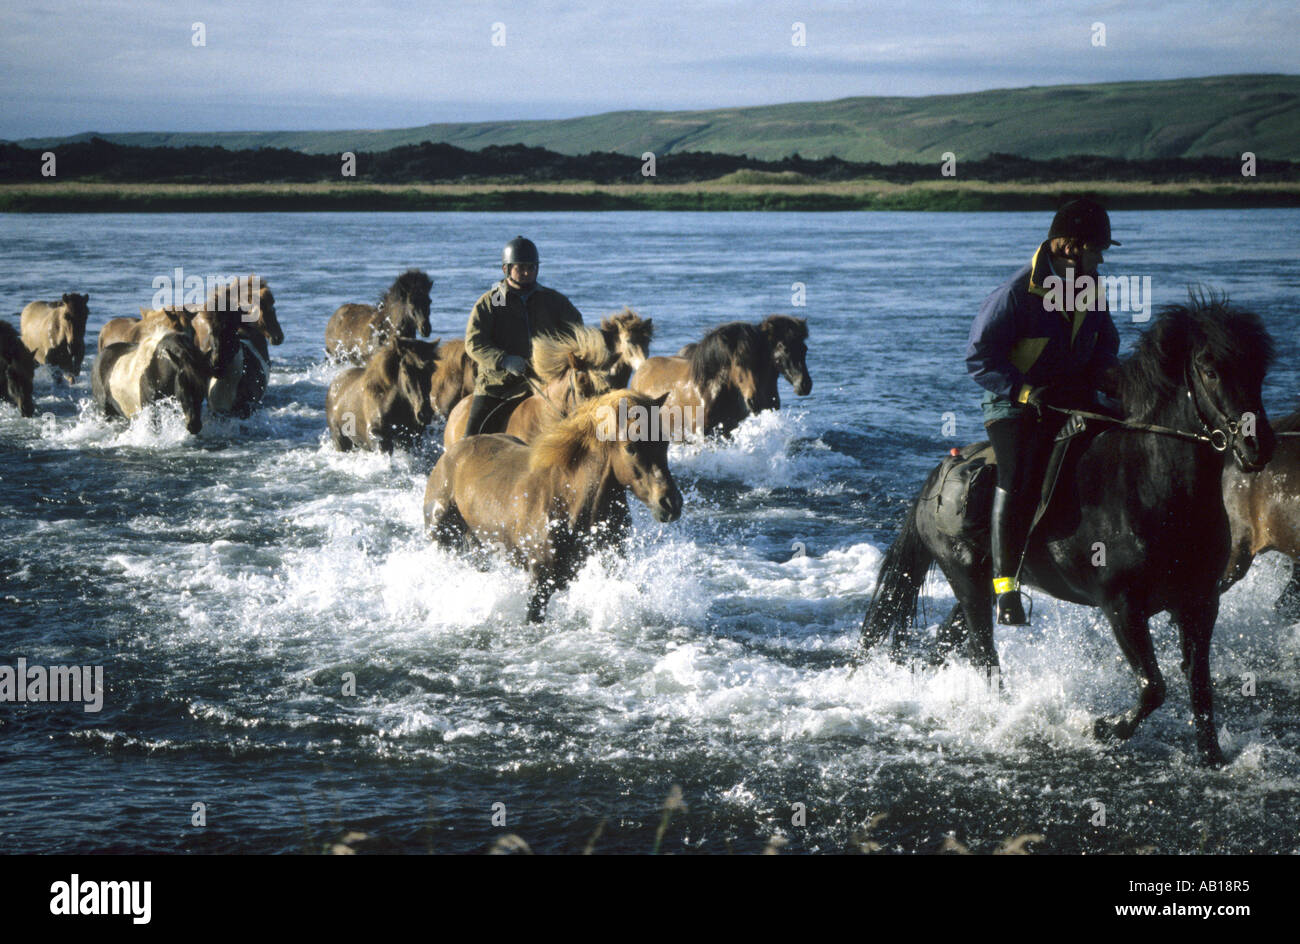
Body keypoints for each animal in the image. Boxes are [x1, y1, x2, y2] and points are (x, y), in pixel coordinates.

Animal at [424, 389, 683, 622]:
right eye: (631, 447)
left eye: (664, 443)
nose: (670, 503)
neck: (569, 502)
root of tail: (452, 453)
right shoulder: (540, 583)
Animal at [860, 294, 1275, 767]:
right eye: (1209, 369)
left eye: (1259, 369)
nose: (1257, 446)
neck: (1152, 484)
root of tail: (940, 476)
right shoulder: (1122, 607)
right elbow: (1153, 687)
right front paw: (1104, 728)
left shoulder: (1200, 603)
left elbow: (1199, 684)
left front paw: (1211, 755)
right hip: (964, 578)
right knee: (984, 653)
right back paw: (1006, 717)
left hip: (979, 584)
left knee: (949, 642)